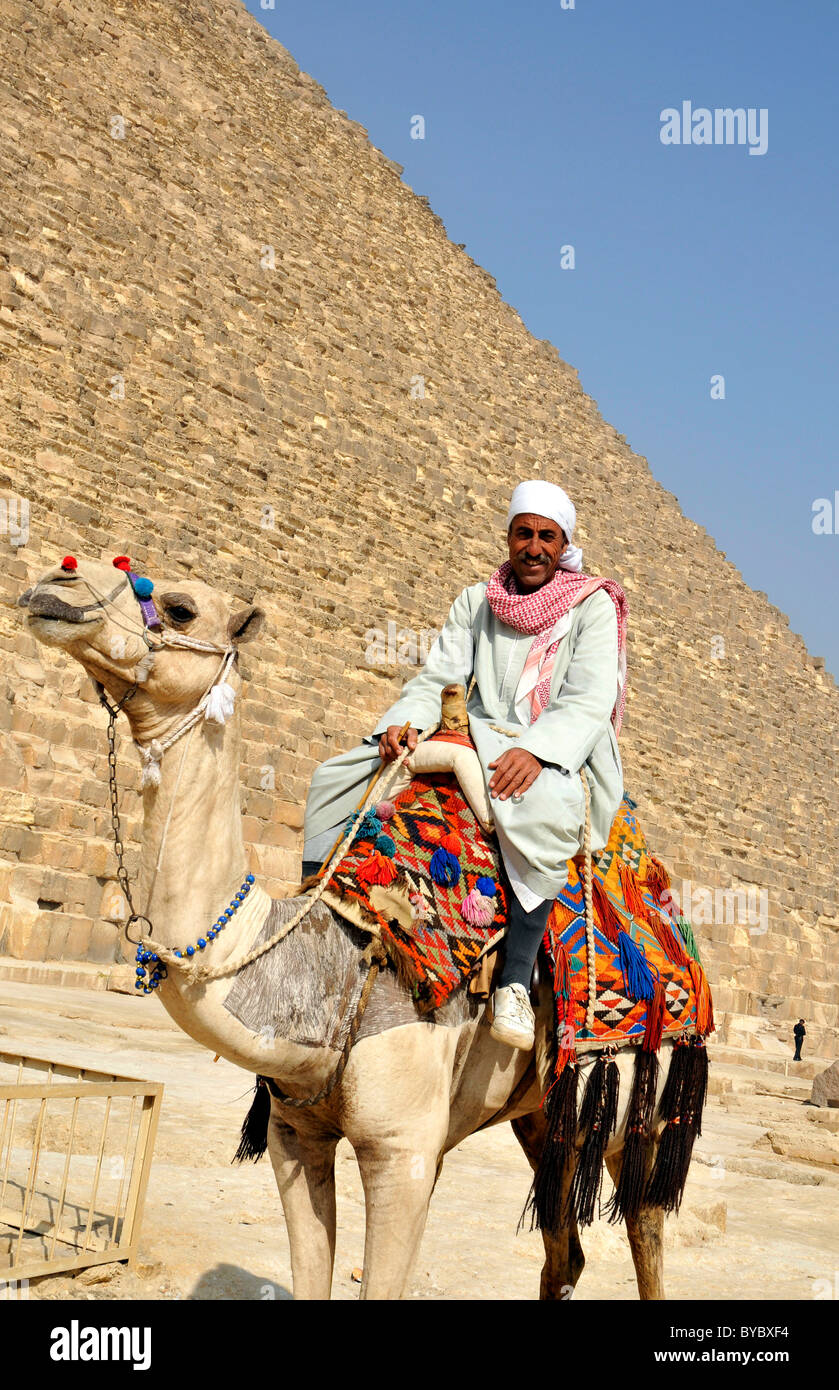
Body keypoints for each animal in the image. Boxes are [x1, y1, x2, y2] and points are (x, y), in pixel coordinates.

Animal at [20, 552, 691, 1301]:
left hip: (635, 1103)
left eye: (179, 606)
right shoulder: (293, 1135)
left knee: (643, 1224)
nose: (56, 583)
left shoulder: (404, 1151)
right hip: (548, 1113)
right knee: (562, 1248)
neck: (333, 963)